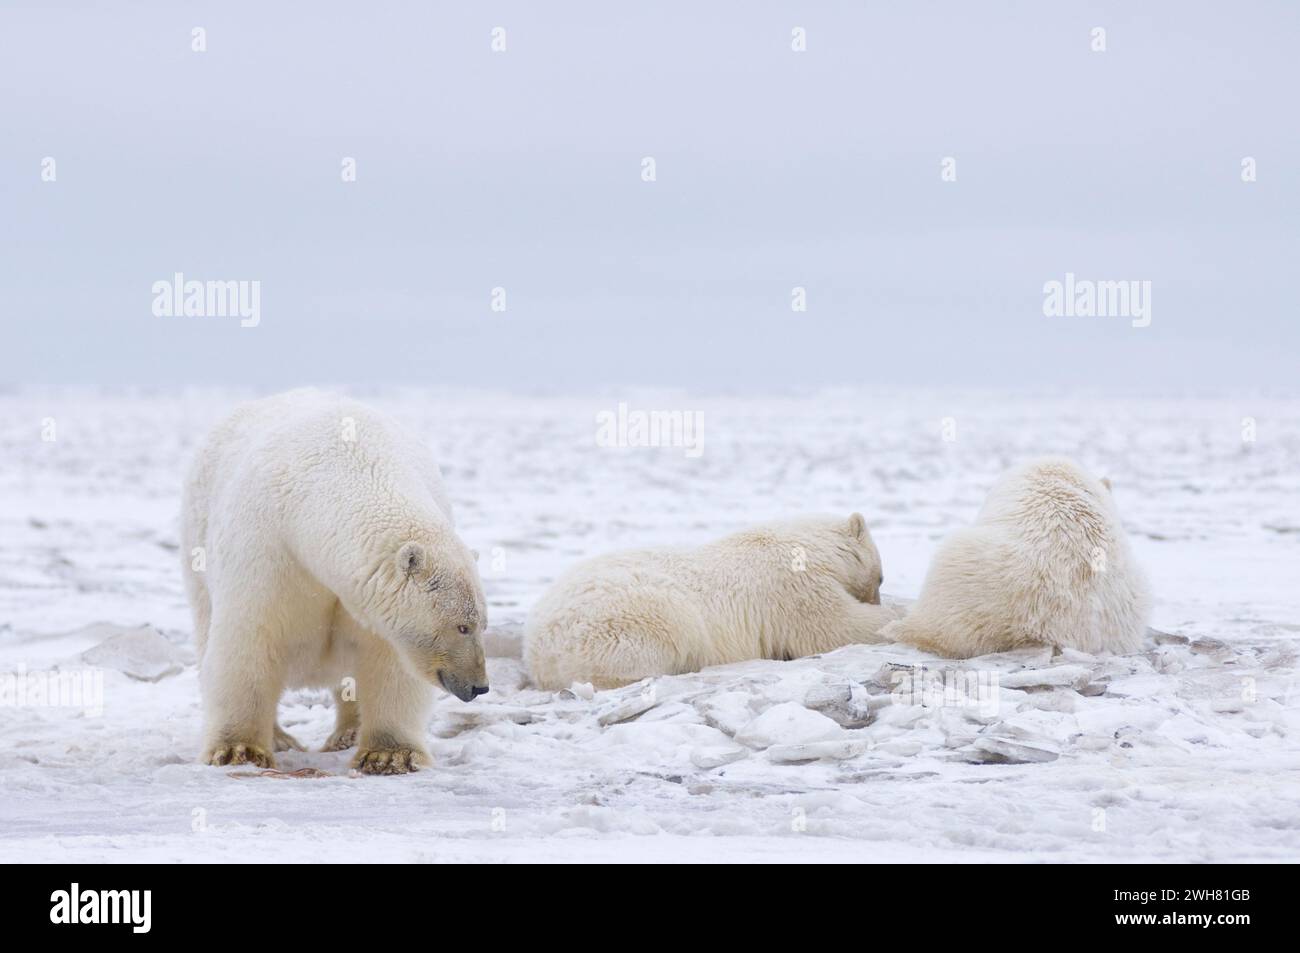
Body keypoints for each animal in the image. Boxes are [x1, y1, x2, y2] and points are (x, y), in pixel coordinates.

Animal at [181, 389, 489, 775]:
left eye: (483, 625)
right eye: (463, 626)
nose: (479, 686)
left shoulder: (367, 601)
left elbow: (389, 660)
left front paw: (390, 755)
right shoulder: (269, 548)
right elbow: (248, 638)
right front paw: (239, 750)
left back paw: (348, 733)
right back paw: (281, 737)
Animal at [523, 514, 897, 690]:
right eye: (880, 577)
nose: (877, 595)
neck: (808, 546)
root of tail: (538, 650)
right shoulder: (793, 587)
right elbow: (835, 626)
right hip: (634, 615)